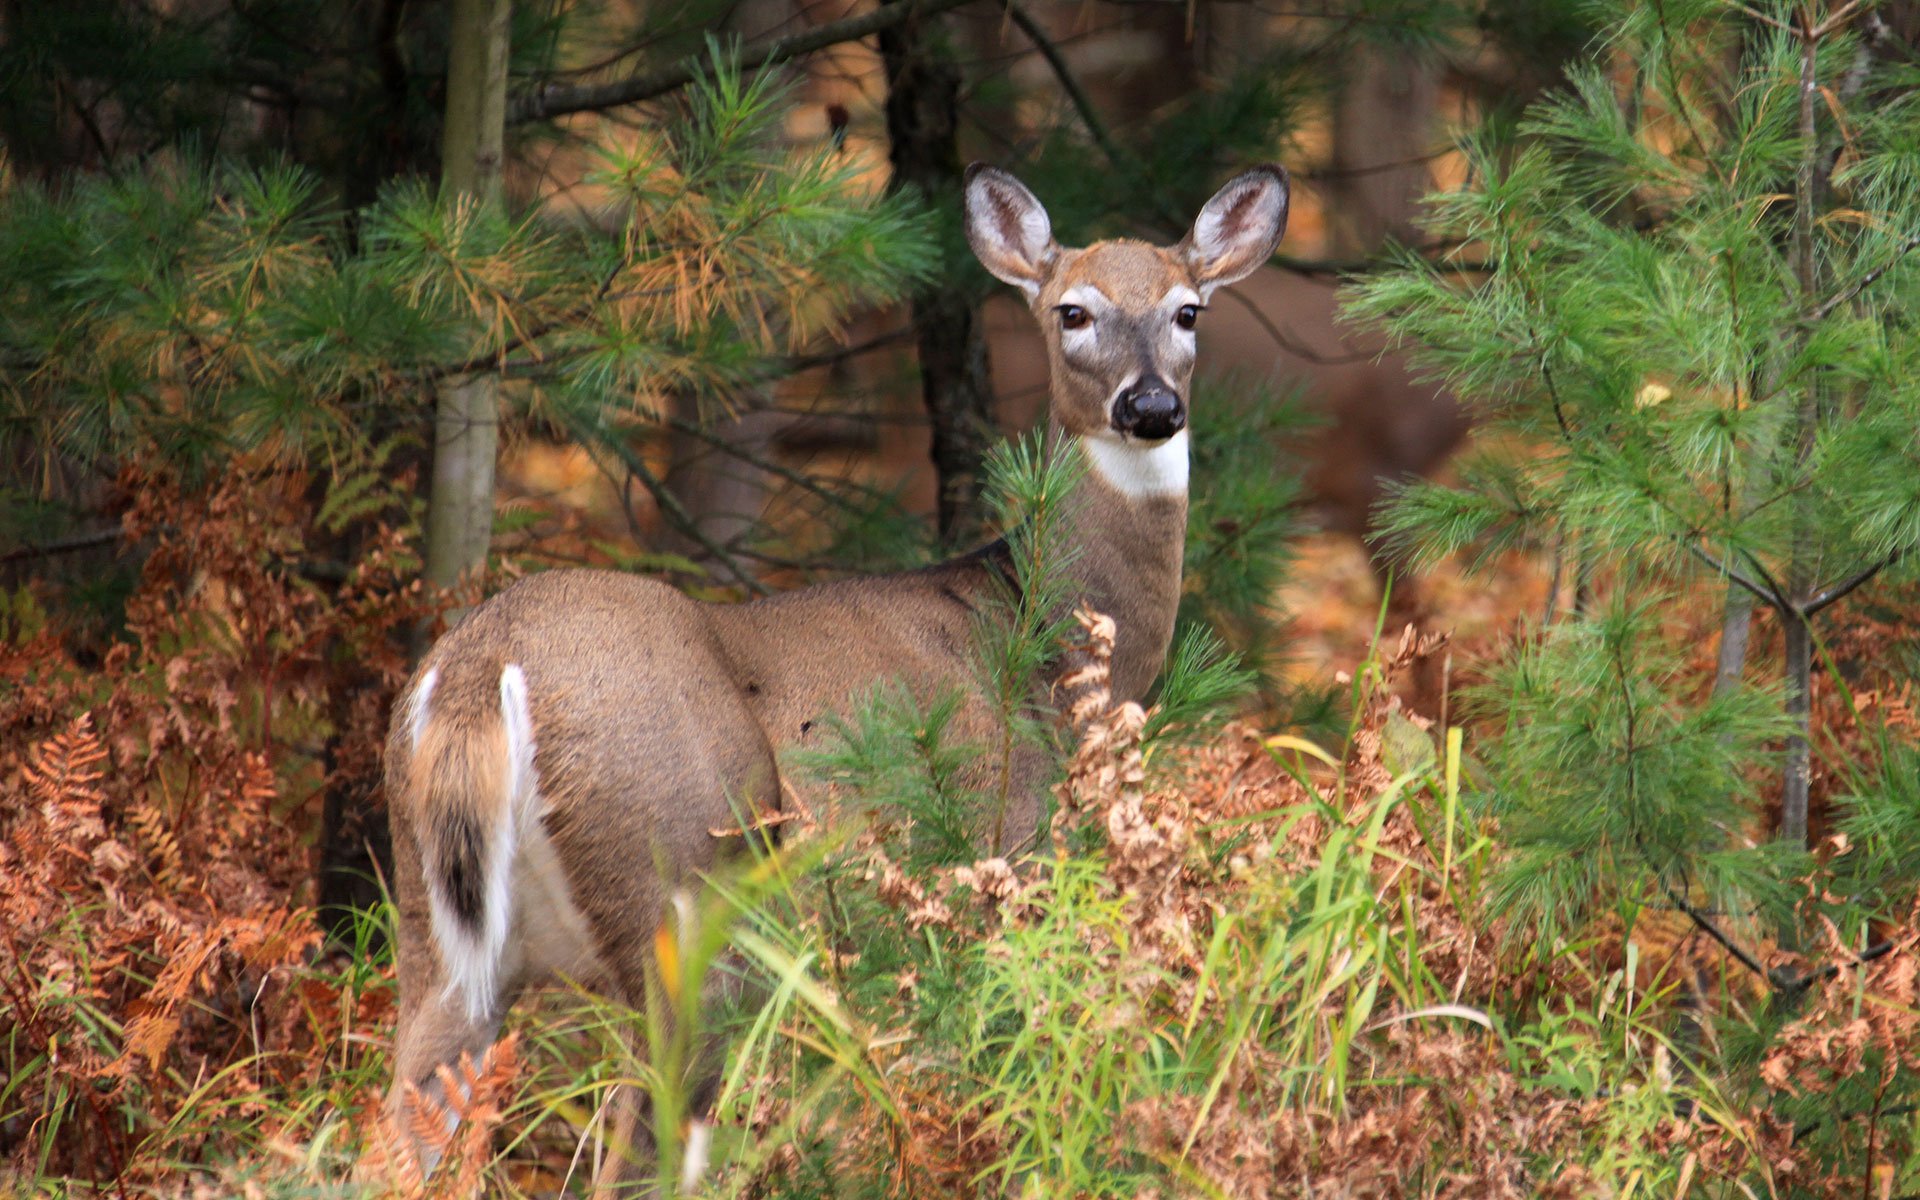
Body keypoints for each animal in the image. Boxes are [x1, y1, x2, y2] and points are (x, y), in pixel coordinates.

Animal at [378, 162, 1290, 1194]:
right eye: (1073, 312)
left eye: (1187, 311)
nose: (1149, 408)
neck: (1047, 637)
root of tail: (478, 670)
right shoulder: (1005, 852)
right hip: (682, 888)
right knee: (640, 1144)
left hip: (436, 932)